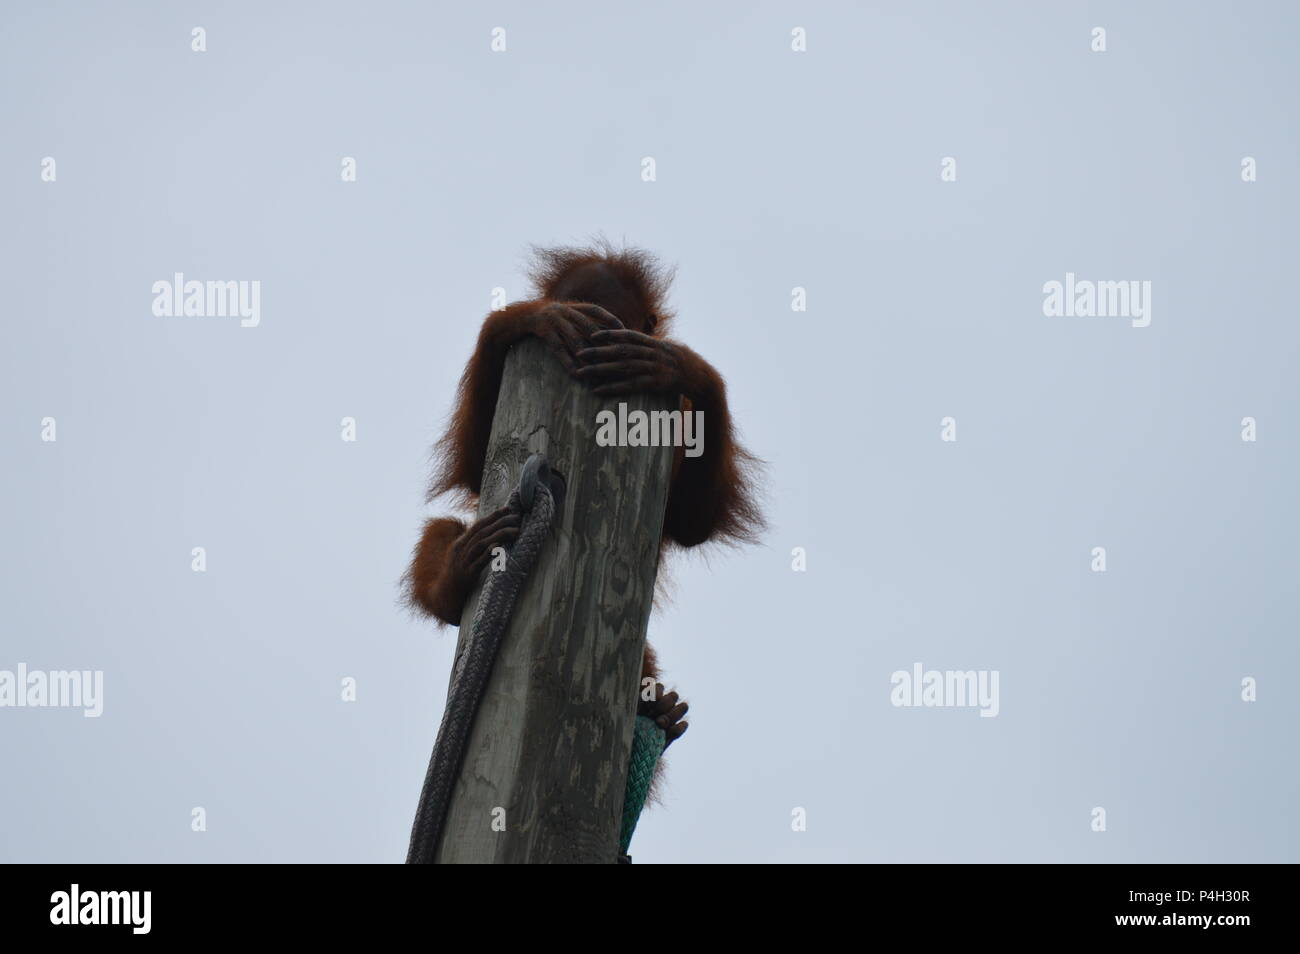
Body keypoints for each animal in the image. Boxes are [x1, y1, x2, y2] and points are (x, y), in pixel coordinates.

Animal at [405, 241, 763, 786]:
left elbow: (692, 524)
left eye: (614, 323)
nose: (595, 337)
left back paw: (659, 711)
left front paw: (683, 366)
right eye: (586, 313)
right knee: (445, 531)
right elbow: (474, 469)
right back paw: (457, 573)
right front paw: (525, 317)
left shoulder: (674, 413)